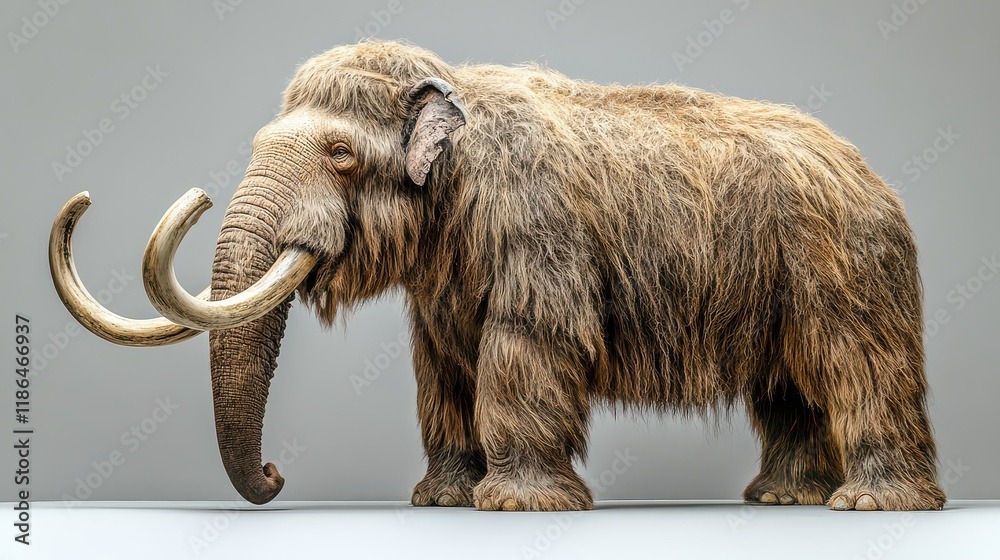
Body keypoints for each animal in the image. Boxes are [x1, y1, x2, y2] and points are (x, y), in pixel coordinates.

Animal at [49, 40, 946, 511]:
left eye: (339, 154)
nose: (275, 477)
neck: (452, 91)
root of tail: (875, 177)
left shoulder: (537, 230)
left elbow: (524, 346)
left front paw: (516, 505)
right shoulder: (443, 278)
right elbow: (441, 365)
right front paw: (441, 501)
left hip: (850, 270)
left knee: (862, 370)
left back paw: (869, 505)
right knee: (790, 391)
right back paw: (783, 499)